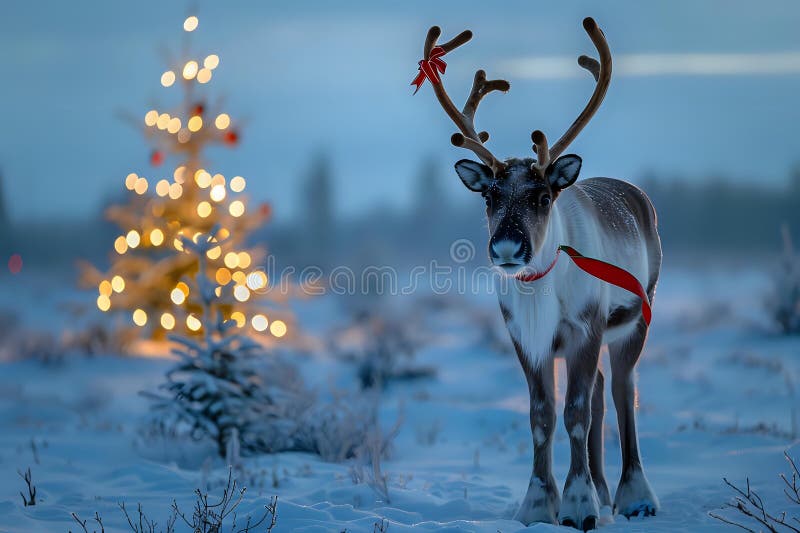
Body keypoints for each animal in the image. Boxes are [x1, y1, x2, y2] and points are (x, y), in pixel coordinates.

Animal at [415, 17, 661, 530]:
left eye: (543, 197)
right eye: (489, 197)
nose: (507, 248)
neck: (541, 289)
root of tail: (636, 196)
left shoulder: (585, 327)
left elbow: (574, 413)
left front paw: (578, 504)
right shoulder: (526, 338)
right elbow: (541, 415)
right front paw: (537, 504)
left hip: (637, 319)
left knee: (623, 390)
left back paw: (634, 496)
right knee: (602, 391)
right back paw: (604, 489)